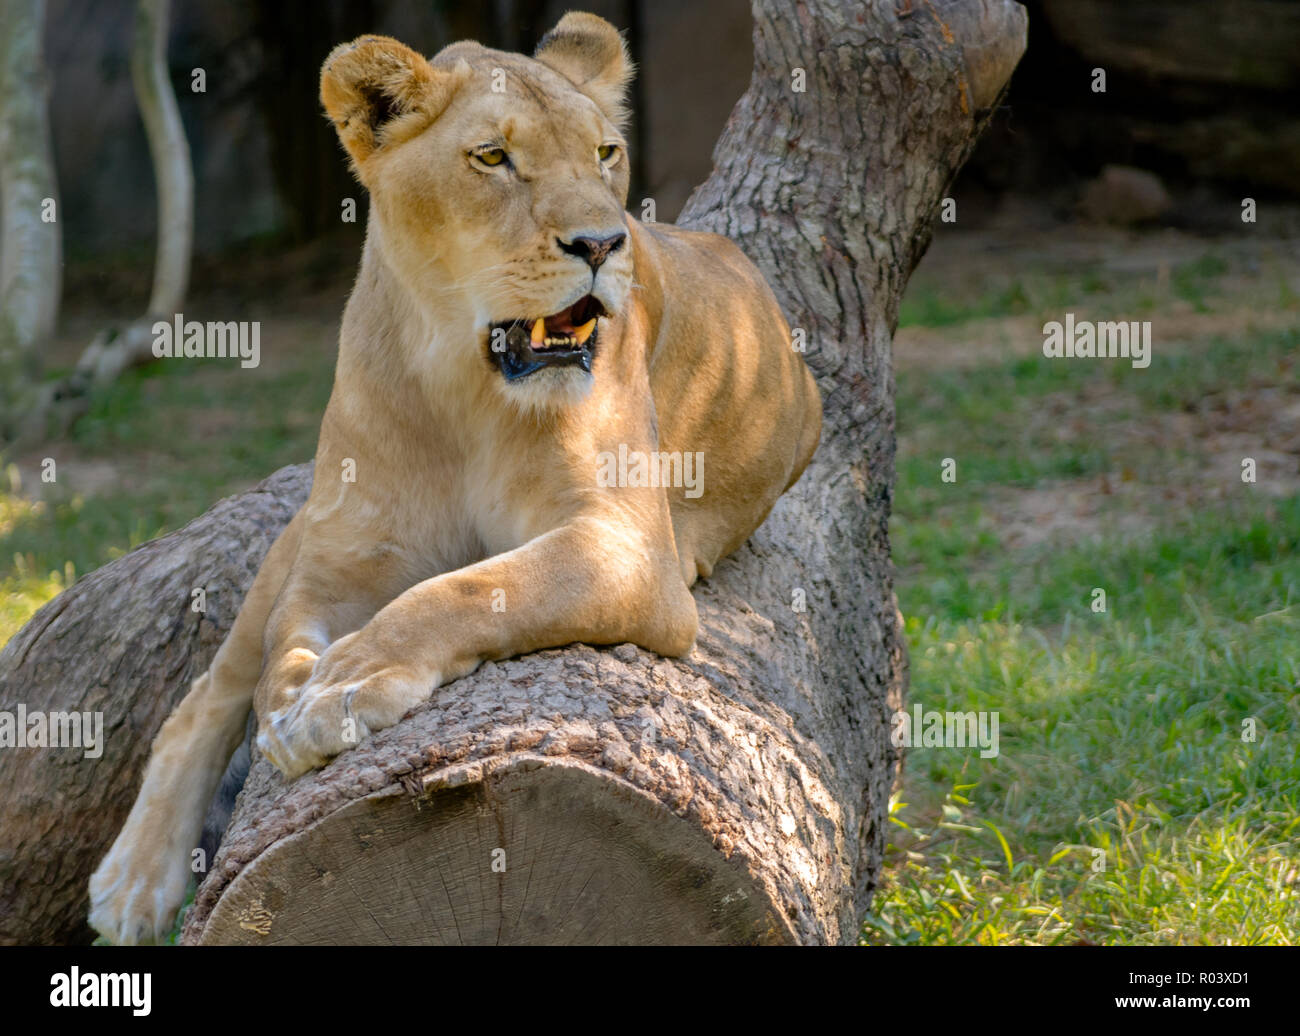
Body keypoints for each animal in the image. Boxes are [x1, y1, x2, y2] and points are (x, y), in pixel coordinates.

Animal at [88, 11, 821, 945]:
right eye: (493, 158)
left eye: (606, 153)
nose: (602, 244)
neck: (458, 384)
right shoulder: (340, 555)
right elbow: (279, 650)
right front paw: (299, 696)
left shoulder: (630, 547)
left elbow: (466, 590)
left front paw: (345, 684)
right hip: (305, 519)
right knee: (208, 688)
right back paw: (136, 879)